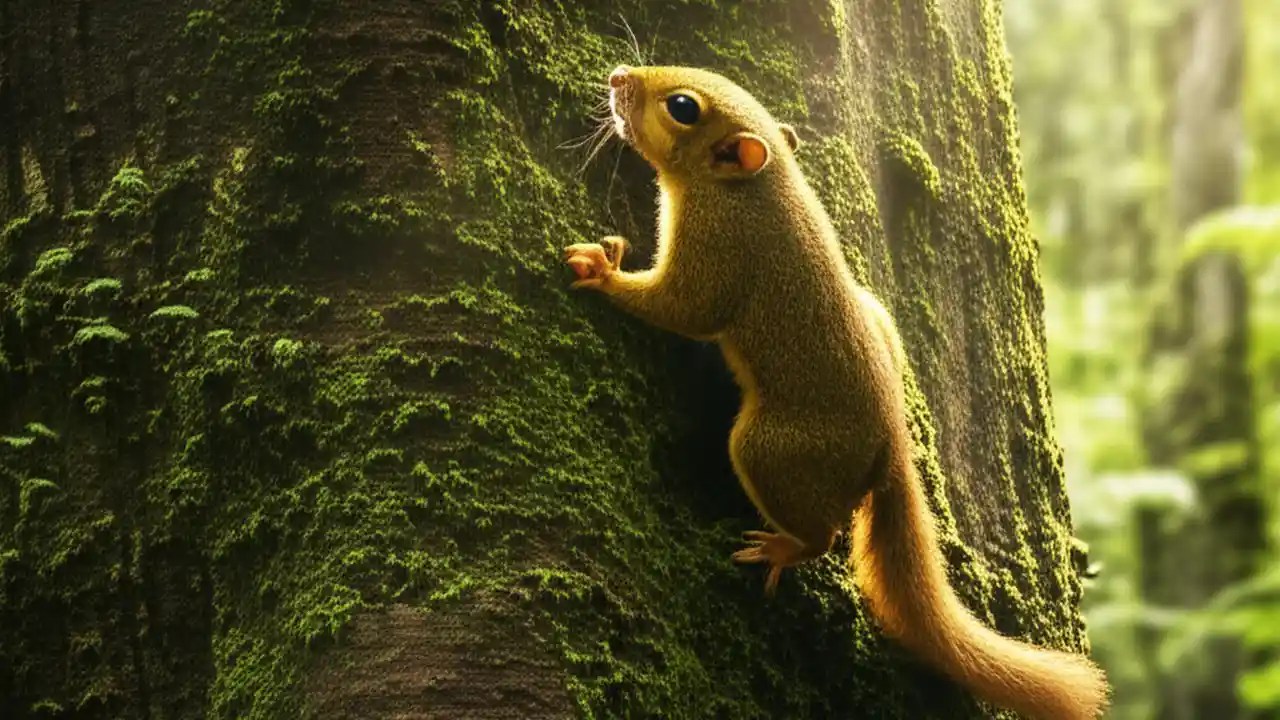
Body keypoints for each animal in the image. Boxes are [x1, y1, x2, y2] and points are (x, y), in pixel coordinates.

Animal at [564, 65, 1109, 720]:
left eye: (683, 107)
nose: (619, 75)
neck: (759, 187)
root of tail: (891, 446)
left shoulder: (720, 250)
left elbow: (686, 308)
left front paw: (604, 273)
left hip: (773, 449)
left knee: (822, 535)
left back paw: (783, 549)